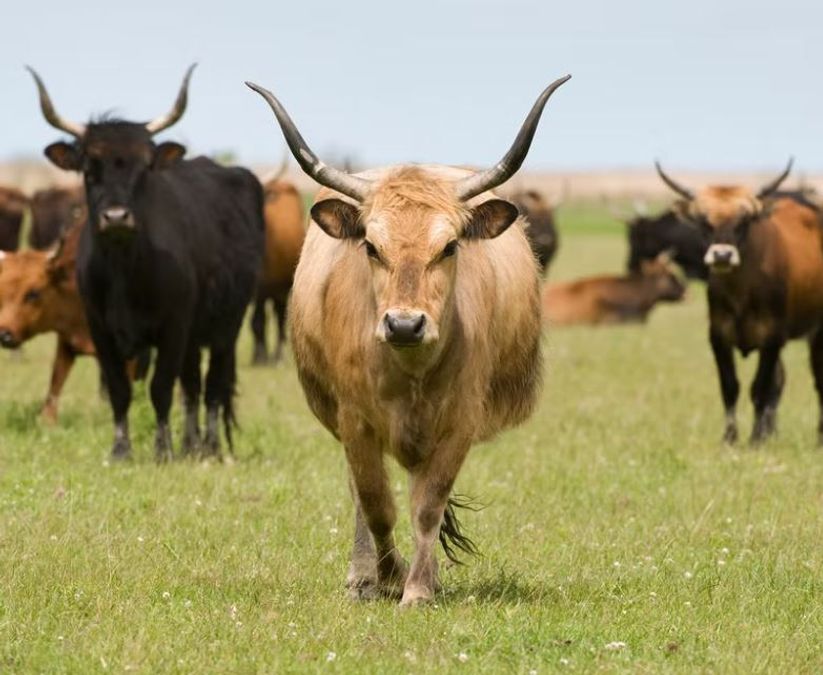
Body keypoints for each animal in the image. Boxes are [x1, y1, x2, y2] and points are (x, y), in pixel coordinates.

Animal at [29, 65, 264, 461]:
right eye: (89, 169)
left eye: (144, 169)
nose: (116, 217)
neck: (124, 267)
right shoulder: (101, 329)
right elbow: (120, 390)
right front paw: (121, 450)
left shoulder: (173, 327)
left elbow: (160, 388)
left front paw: (162, 450)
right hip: (194, 335)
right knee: (192, 386)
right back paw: (191, 446)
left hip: (226, 326)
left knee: (213, 387)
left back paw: (210, 447)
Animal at [250, 173, 305, 364]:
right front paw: (257, 356)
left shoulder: (263, 289)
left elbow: (259, 321)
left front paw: (261, 357)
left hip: (281, 288)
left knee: (280, 317)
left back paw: (278, 355)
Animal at [656, 160, 823, 445]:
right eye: (703, 220)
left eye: (744, 220)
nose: (722, 255)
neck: (740, 295)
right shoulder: (718, 337)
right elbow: (730, 387)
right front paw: (731, 438)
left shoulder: (772, 338)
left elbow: (760, 388)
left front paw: (755, 440)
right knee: (779, 382)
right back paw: (771, 433)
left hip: (817, 333)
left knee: (818, 381)